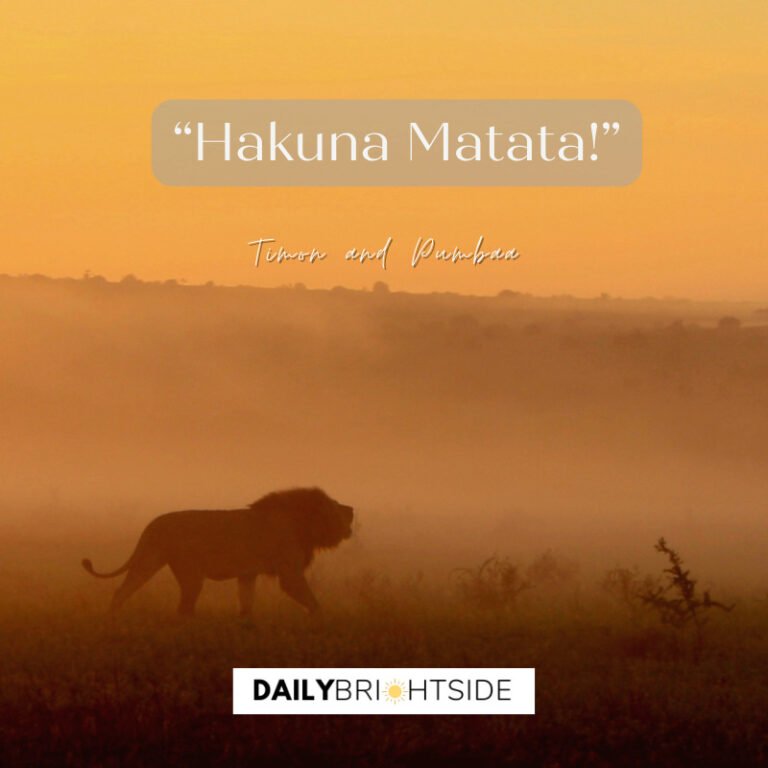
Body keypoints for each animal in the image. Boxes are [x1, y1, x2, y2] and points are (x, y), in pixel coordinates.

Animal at [82, 487, 354, 616]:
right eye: (335, 506)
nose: (351, 508)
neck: (302, 524)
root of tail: (152, 524)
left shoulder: (247, 574)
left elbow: (246, 604)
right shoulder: (290, 572)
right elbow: (311, 600)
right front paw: (321, 620)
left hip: (152, 559)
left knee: (125, 590)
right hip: (183, 570)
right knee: (180, 607)